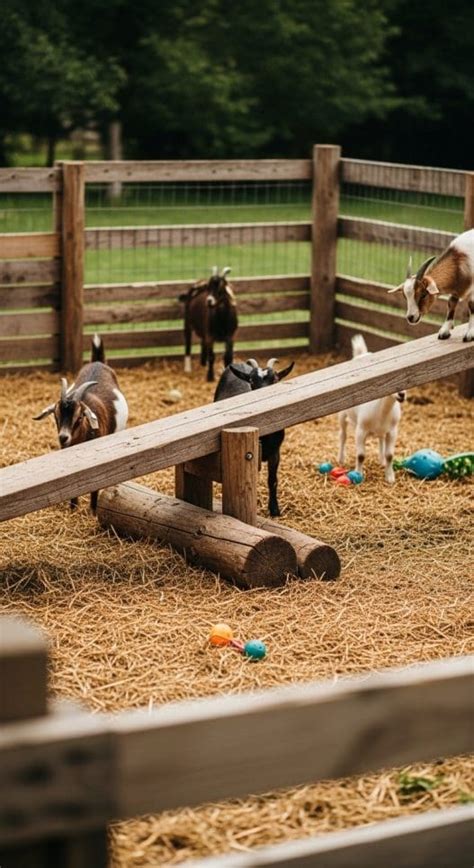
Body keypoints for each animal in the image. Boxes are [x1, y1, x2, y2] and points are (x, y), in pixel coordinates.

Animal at [33, 334, 128, 512]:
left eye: (79, 417)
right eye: (55, 416)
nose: (63, 437)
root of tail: (97, 361)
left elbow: (95, 487)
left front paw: (93, 510)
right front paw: (73, 508)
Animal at [338, 335, 405, 483]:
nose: (402, 394)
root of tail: (362, 354)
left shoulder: (393, 431)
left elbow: (390, 455)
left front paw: (390, 477)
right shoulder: (360, 430)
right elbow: (361, 455)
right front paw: (358, 474)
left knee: (381, 439)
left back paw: (381, 460)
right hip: (342, 415)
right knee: (343, 435)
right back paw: (341, 459)